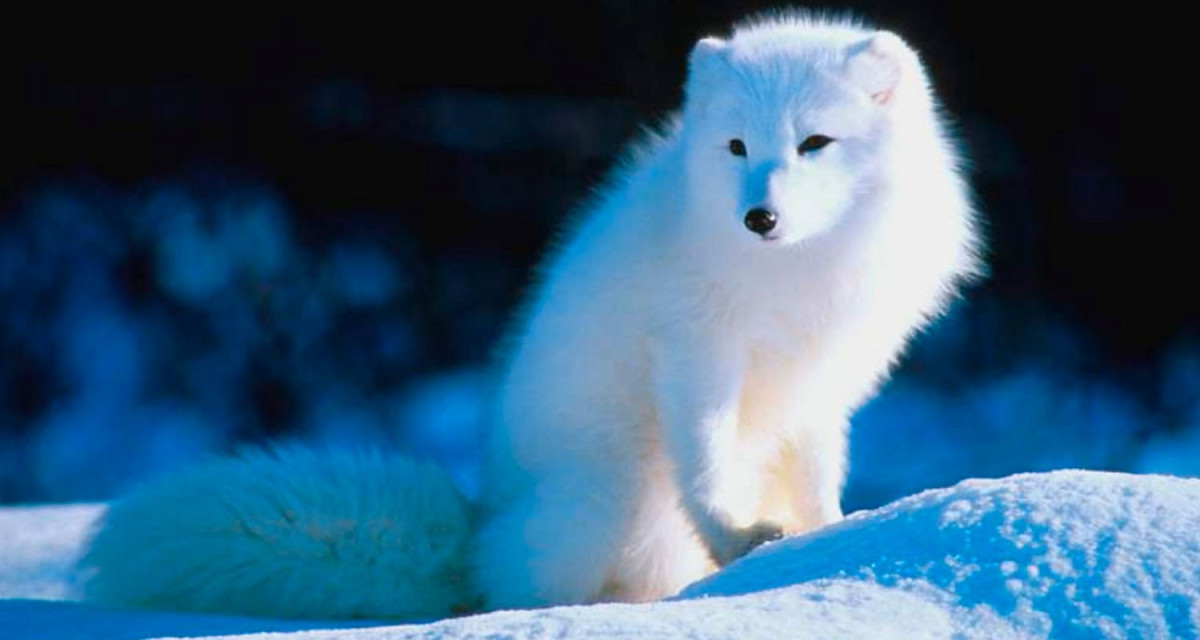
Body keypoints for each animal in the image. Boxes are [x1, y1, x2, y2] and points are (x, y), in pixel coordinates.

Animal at [81, 12, 980, 621]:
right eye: (735, 147)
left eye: (814, 142)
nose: (758, 217)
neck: (795, 273)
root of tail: (477, 527)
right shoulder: (694, 354)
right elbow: (707, 465)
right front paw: (741, 543)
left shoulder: (821, 382)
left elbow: (820, 475)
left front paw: (834, 537)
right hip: (611, 487)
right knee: (527, 588)